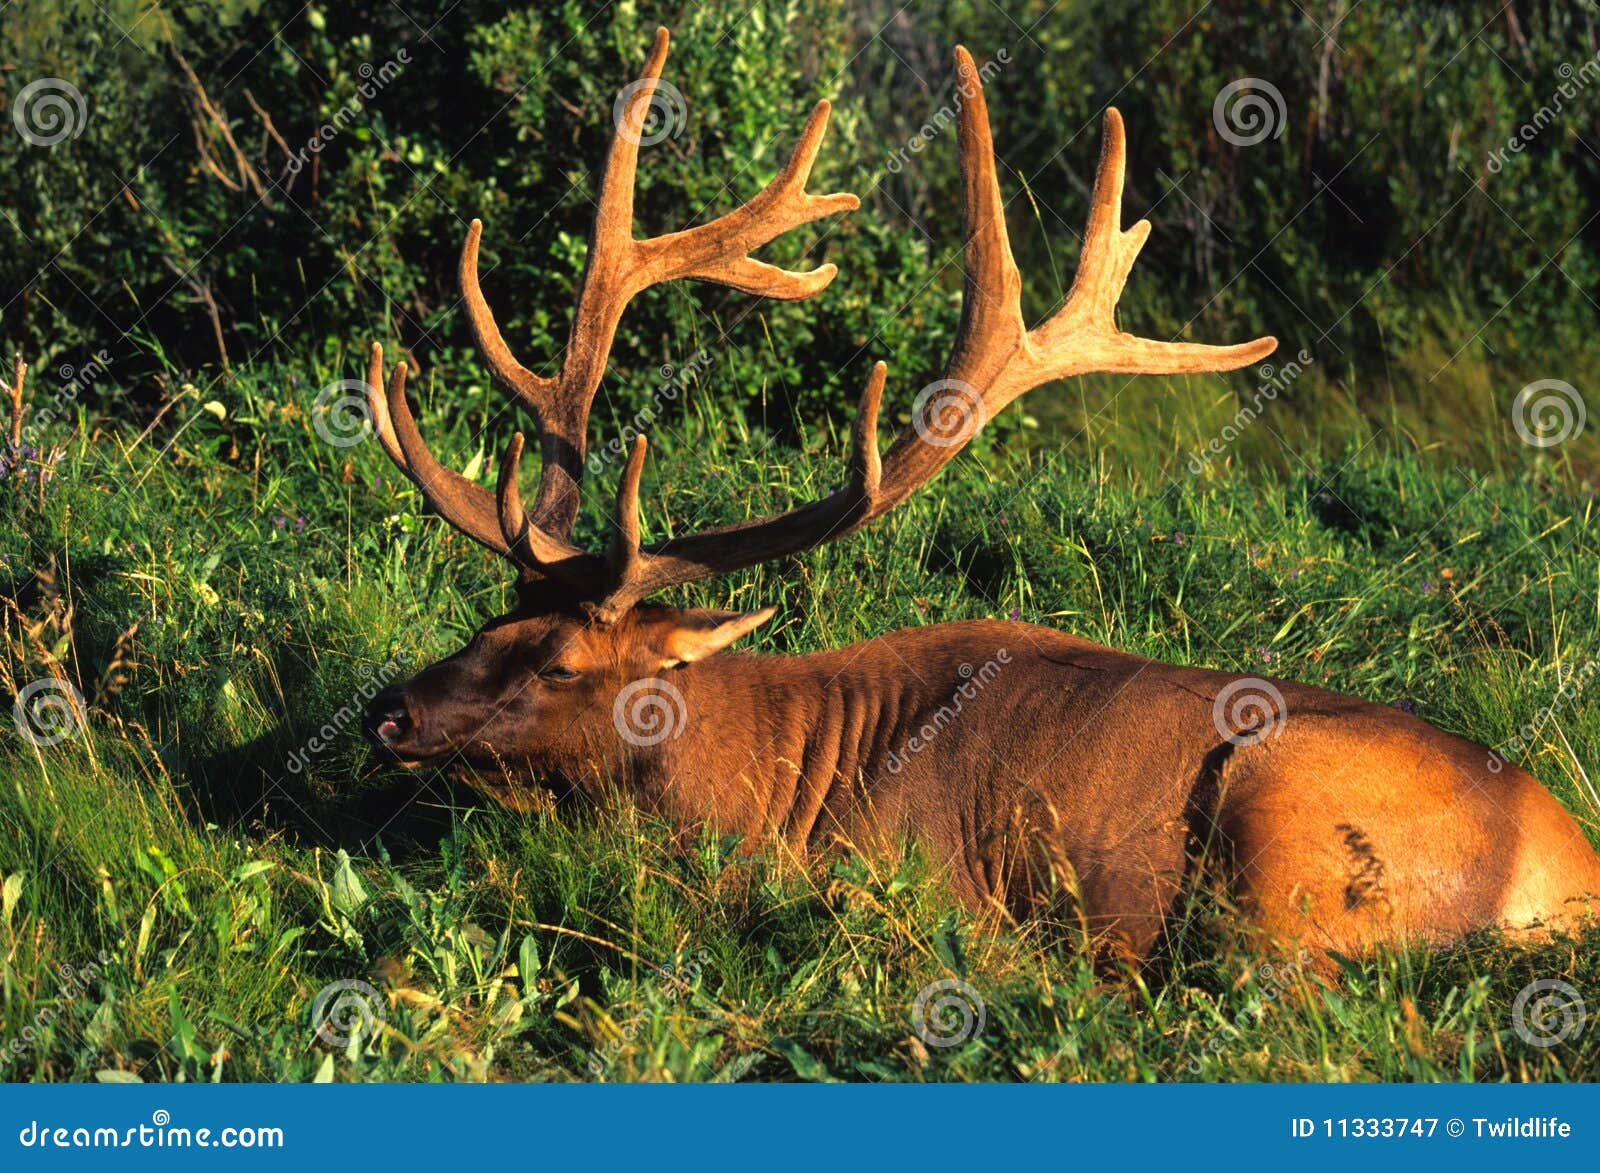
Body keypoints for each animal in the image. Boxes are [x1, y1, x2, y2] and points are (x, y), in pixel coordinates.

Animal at [358, 28, 1600, 965]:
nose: (390, 714)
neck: (773, 789)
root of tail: (1562, 873)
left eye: (562, 664)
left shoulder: (911, 887)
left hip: (1287, 842)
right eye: (487, 621)